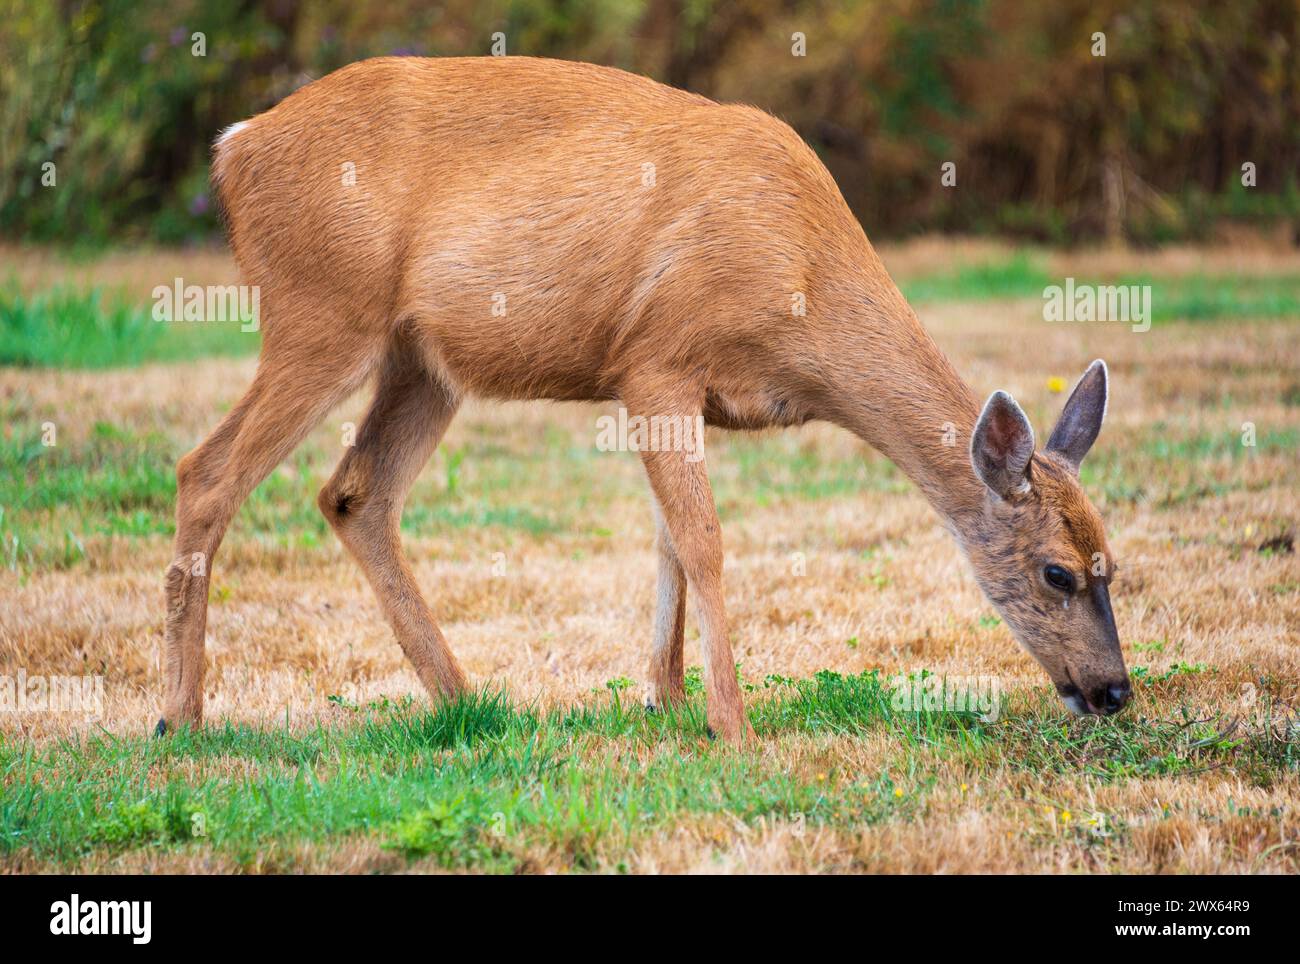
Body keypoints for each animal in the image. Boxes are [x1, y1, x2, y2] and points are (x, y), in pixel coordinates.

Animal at [159, 56, 1130, 745]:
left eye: (1114, 565)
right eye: (1057, 571)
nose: (1115, 689)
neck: (803, 284)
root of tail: (233, 147)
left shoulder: (678, 390)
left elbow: (665, 542)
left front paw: (664, 701)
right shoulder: (658, 358)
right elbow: (703, 541)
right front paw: (732, 725)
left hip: (420, 359)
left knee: (355, 493)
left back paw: (469, 702)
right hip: (322, 310)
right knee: (207, 471)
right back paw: (180, 717)